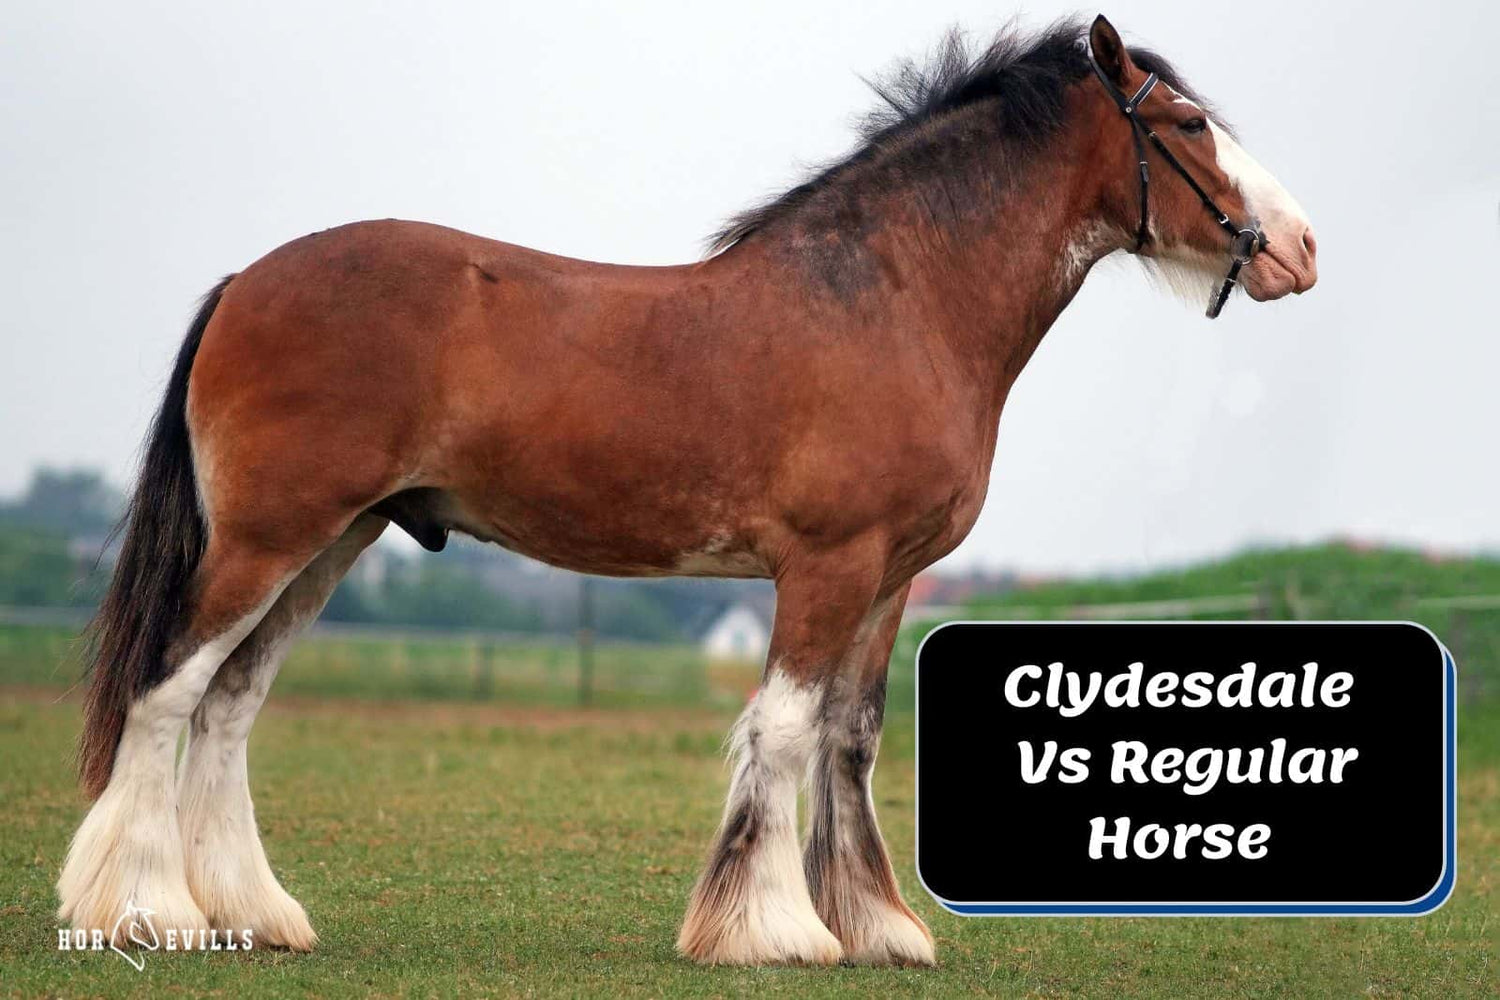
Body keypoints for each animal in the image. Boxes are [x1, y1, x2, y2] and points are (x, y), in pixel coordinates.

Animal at [58, 15, 1315, 967]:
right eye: (1187, 123)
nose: (1298, 247)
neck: (896, 302)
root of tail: (243, 282)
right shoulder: (826, 565)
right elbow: (786, 727)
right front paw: (775, 929)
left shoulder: (892, 577)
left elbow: (852, 737)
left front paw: (878, 929)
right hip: (267, 539)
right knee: (169, 692)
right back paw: (149, 910)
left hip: (332, 543)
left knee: (228, 707)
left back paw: (254, 913)